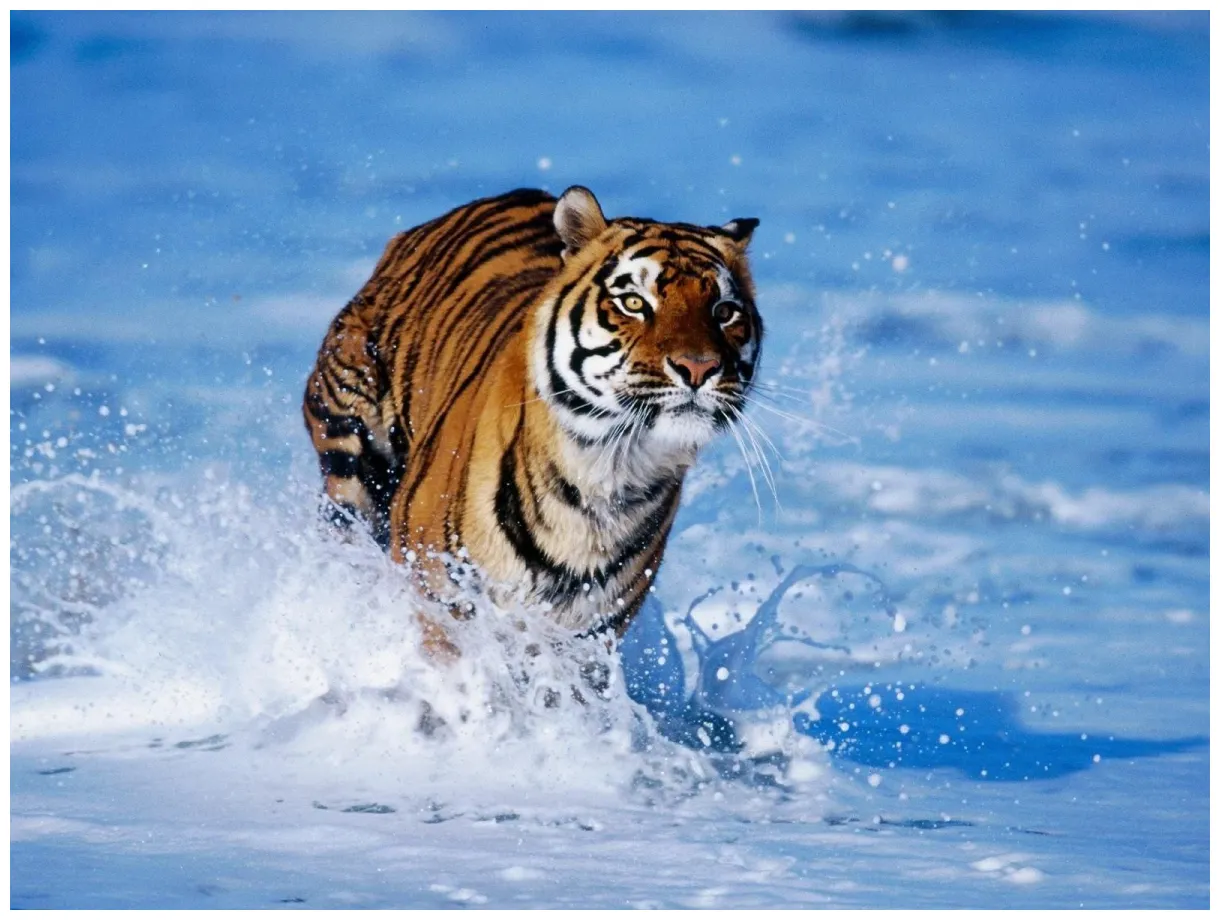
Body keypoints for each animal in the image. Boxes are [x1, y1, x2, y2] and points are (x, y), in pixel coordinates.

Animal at [303, 186, 762, 651]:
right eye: (634, 302)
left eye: (724, 311)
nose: (699, 368)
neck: (607, 476)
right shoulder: (441, 598)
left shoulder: (589, 635)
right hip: (351, 459)